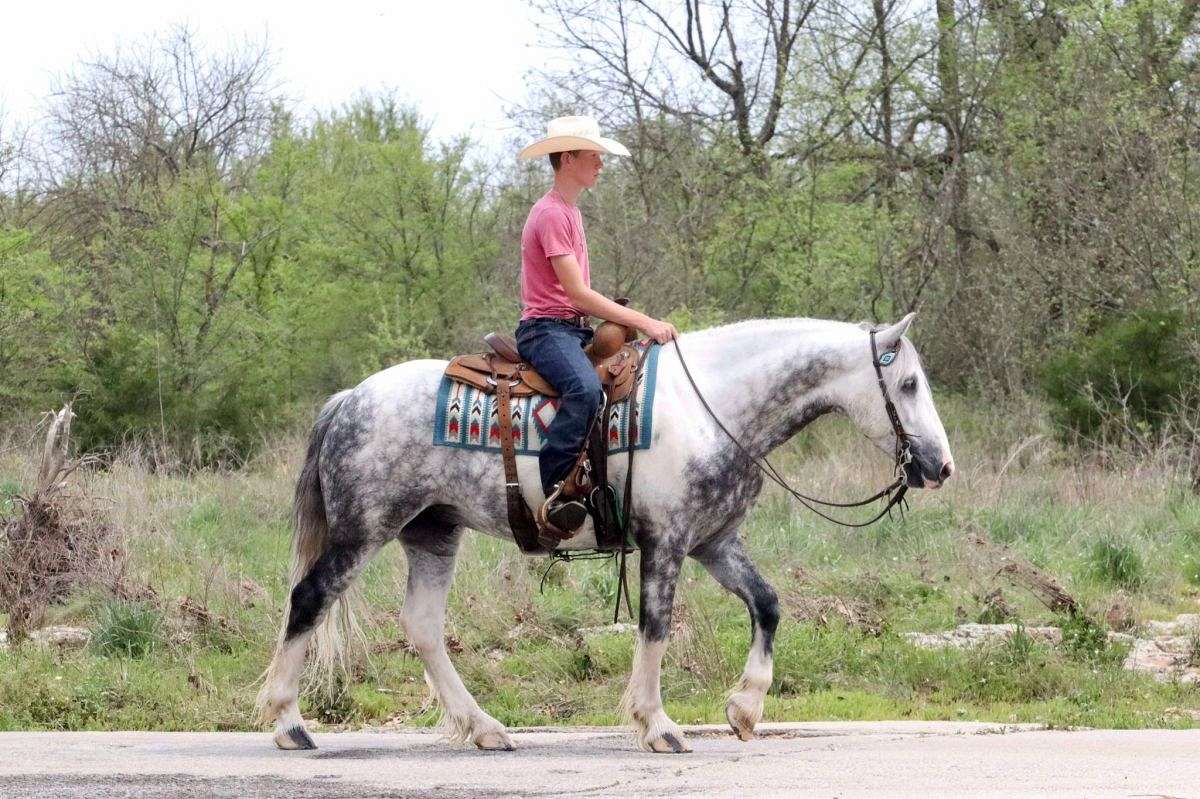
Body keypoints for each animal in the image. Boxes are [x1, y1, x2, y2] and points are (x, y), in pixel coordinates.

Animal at [256, 312, 953, 754]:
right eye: (909, 384)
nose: (941, 466)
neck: (715, 408)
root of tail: (349, 399)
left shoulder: (715, 543)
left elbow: (768, 604)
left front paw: (745, 708)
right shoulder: (667, 542)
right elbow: (655, 627)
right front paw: (657, 724)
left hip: (433, 532)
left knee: (424, 628)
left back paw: (484, 728)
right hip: (363, 531)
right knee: (309, 600)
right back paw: (289, 723)